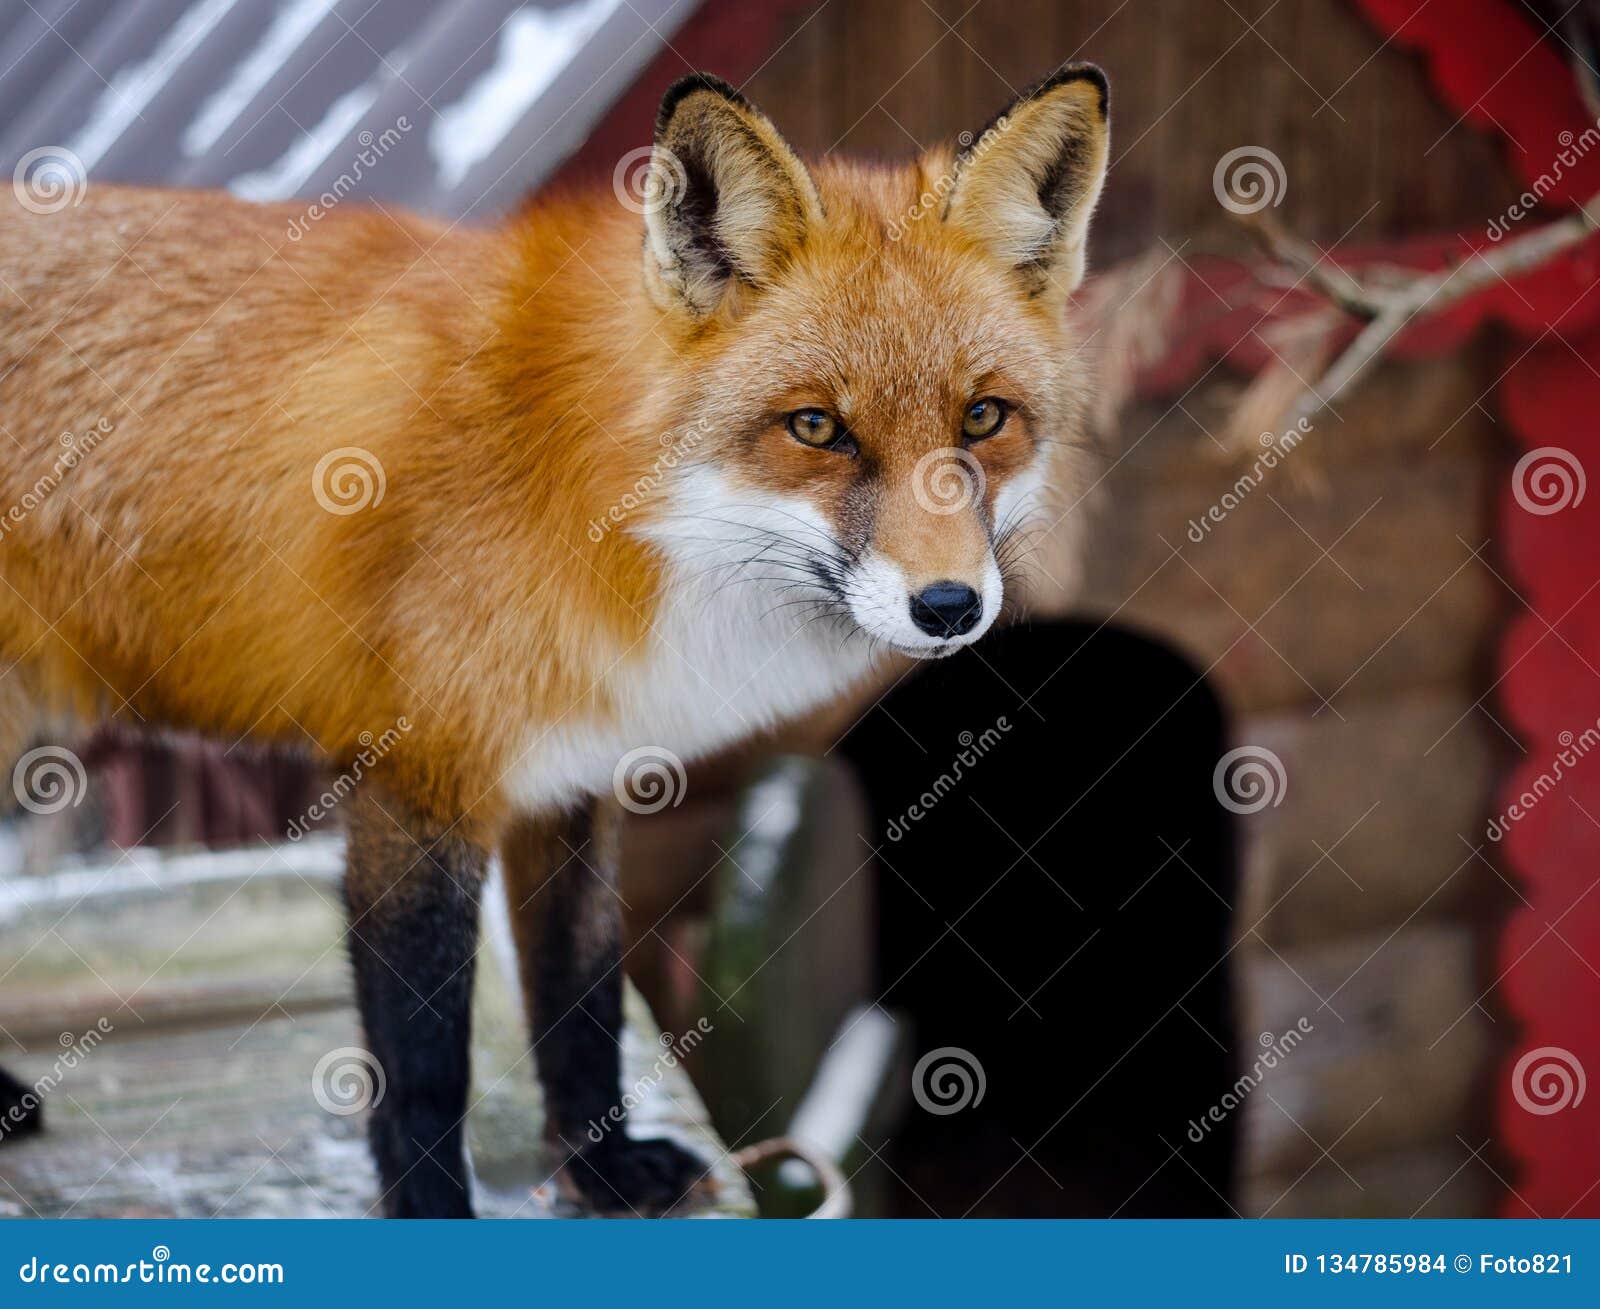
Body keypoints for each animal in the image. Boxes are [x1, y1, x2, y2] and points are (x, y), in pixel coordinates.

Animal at [0, 67, 1109, 1216]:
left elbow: (580, 998)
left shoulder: (572, 771)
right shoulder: (417, 779)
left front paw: (604, 1171)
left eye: (983, 418)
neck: (599, 497)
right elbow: (426, 1064)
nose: (949, 605)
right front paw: (433, 1212)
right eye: (816, 428)